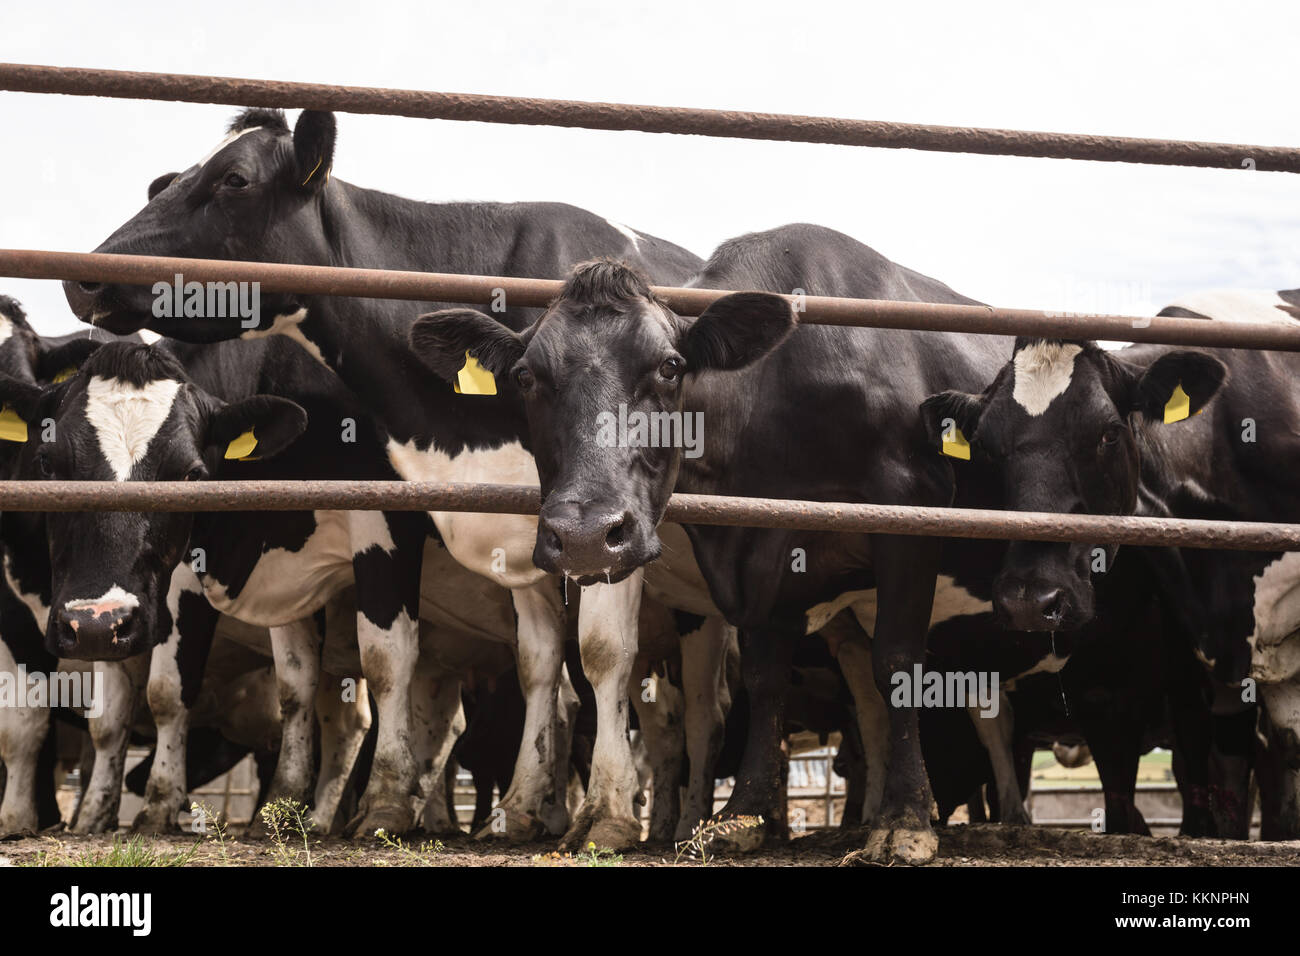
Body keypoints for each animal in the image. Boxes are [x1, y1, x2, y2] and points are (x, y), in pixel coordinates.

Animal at [62, 107, 728, 849]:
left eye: (234, 179)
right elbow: (498, 664)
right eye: (169, 181)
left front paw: (604, 815)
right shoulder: (507, 527)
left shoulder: (591, 517)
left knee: (687, 707)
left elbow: (592, 653)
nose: (85, 276)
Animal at [407, 226, 1016, 863]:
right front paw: (744, 812)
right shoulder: (762, 546)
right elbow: (764, 677)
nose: (584, 535)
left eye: (671, 367)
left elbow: (896, 661)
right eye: (525, 376)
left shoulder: (910, 504)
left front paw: (905, 819)